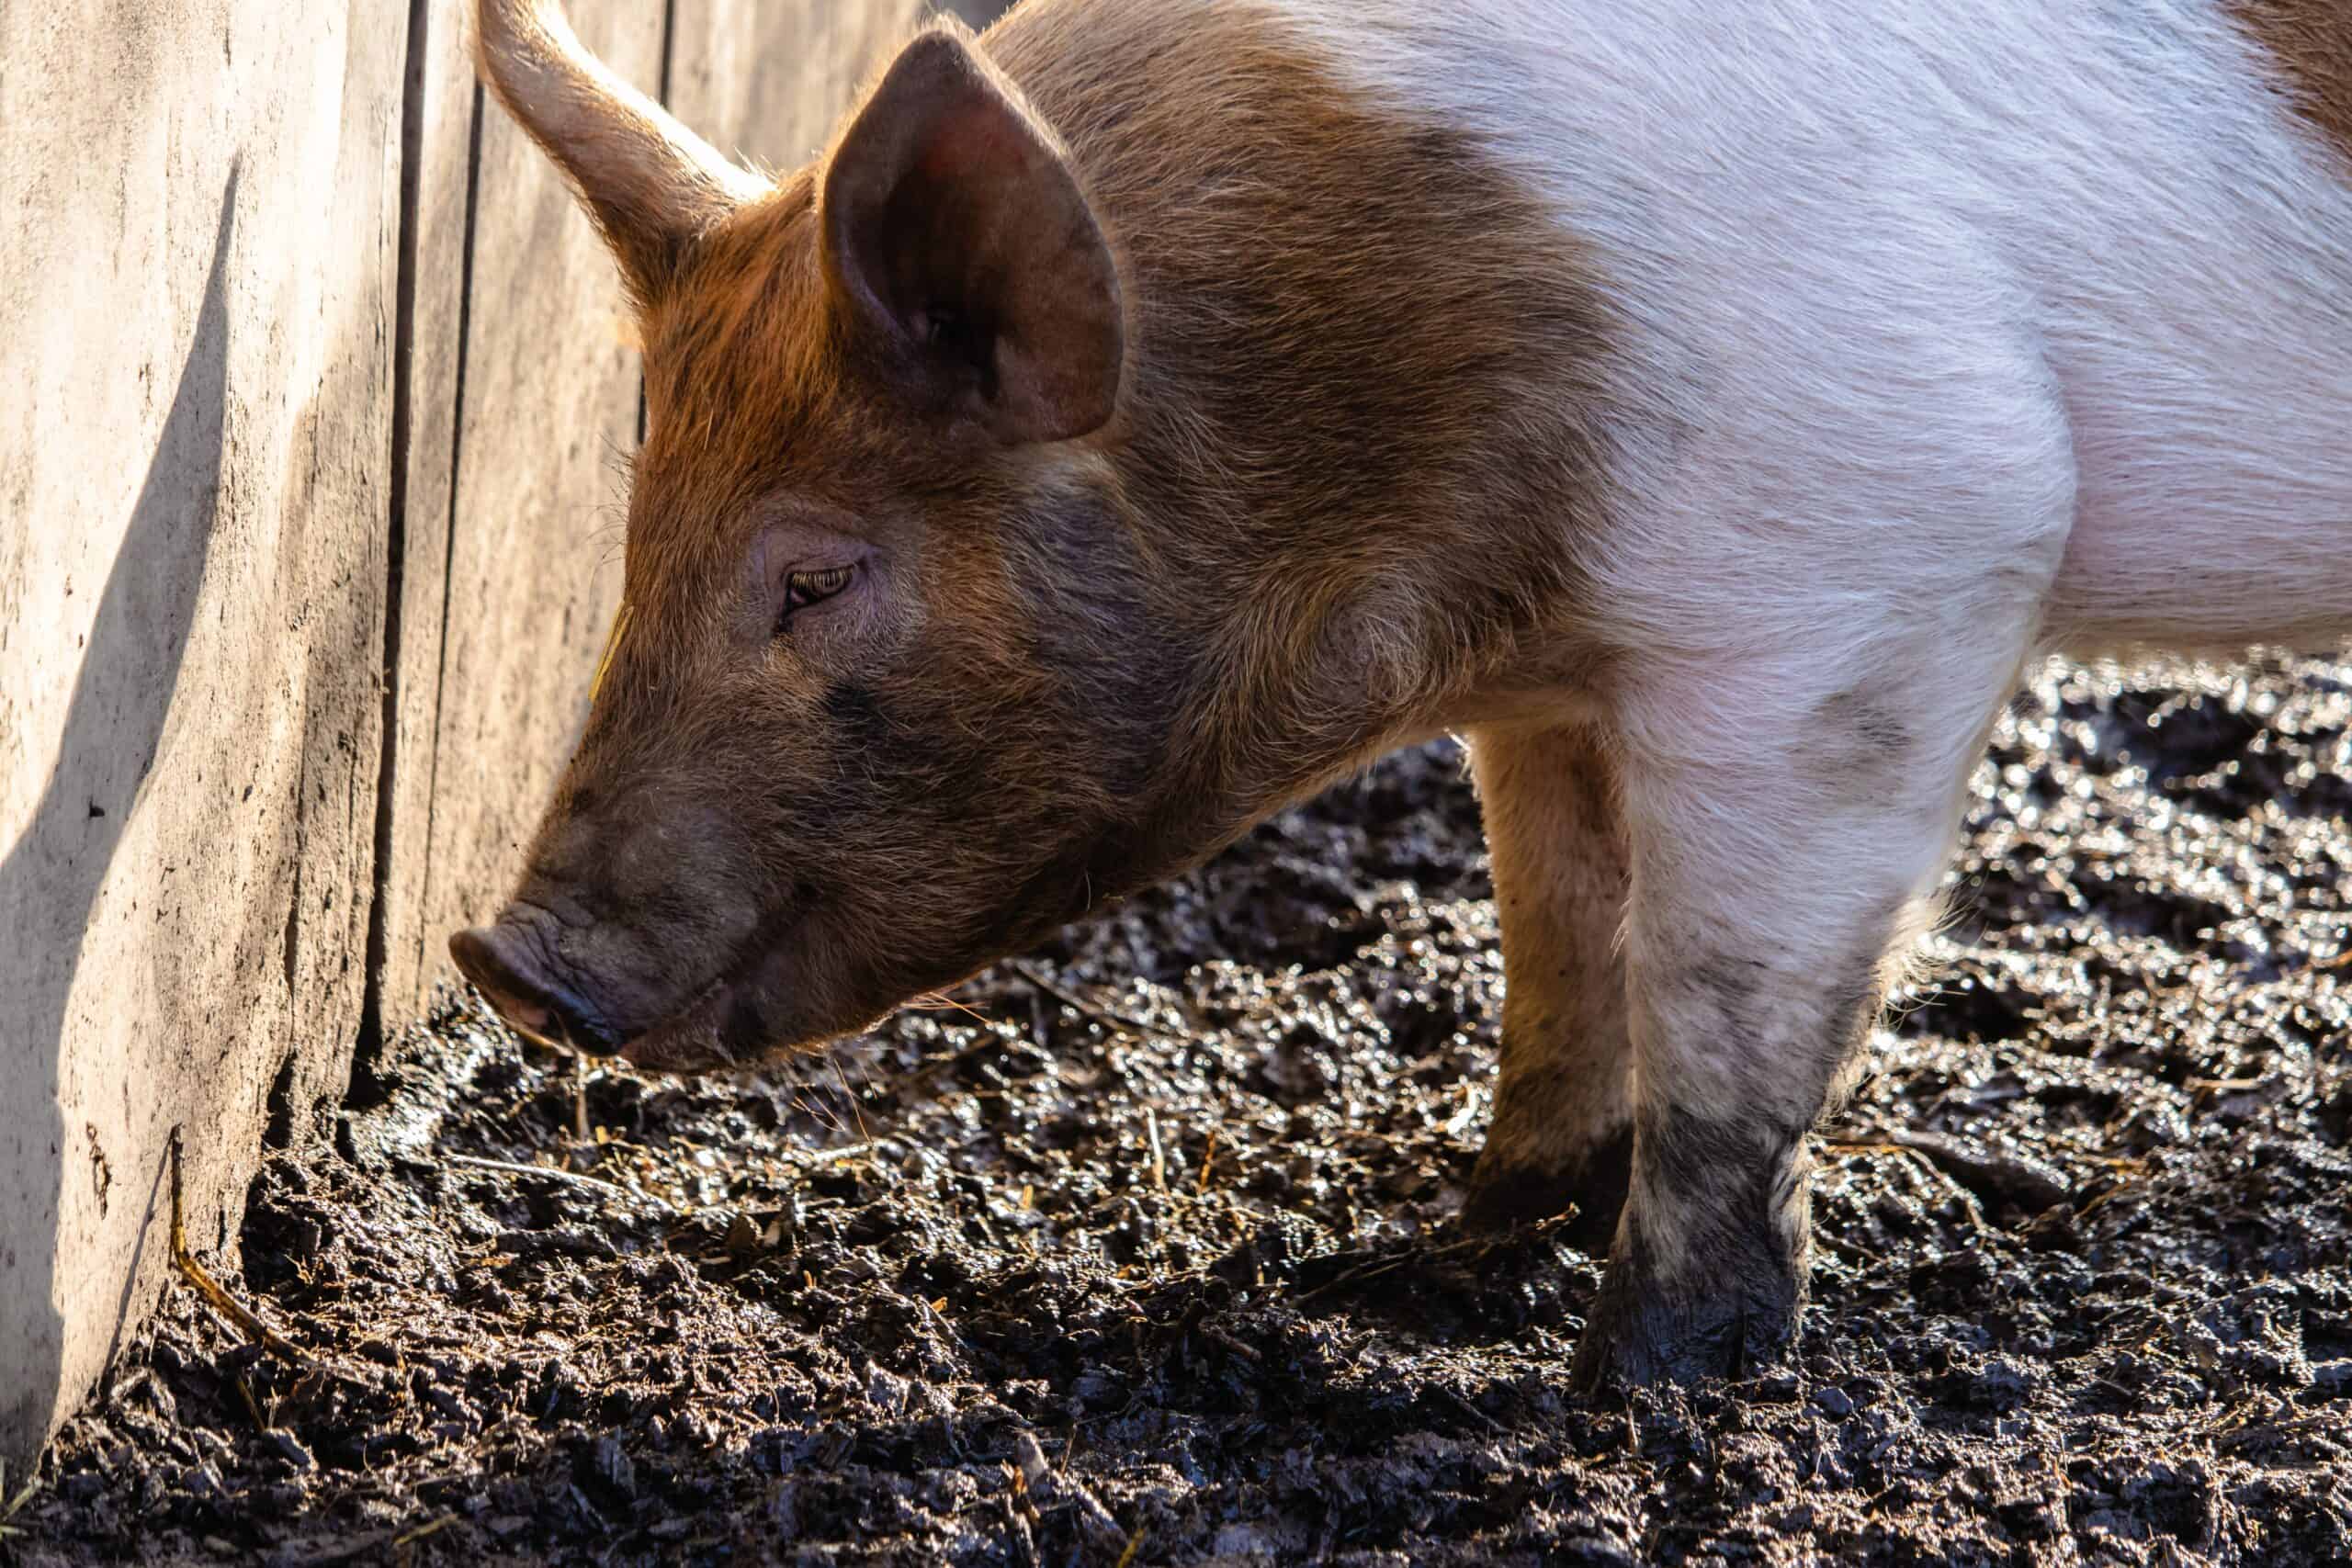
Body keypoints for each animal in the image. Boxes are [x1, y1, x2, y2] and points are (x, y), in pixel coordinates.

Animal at [449, 0, 2352, 1388]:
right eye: (636, 524)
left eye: (818, 577)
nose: (502, 957)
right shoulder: (1560, 683)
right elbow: (1560, 931)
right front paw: (1426, 1255)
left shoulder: (1886, 564)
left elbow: (1725, 996)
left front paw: (1634, 1387)